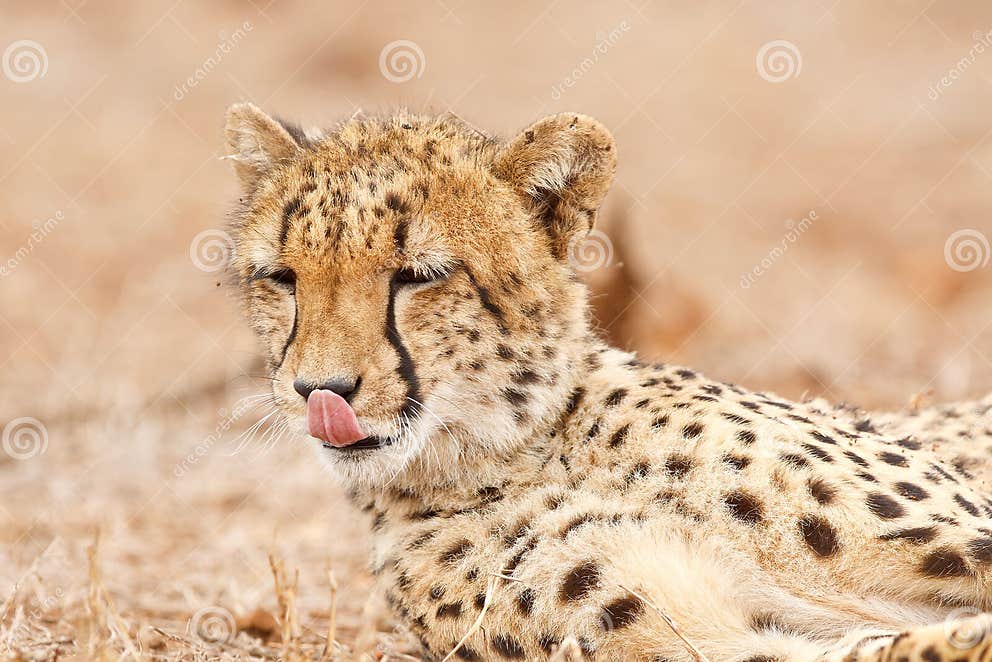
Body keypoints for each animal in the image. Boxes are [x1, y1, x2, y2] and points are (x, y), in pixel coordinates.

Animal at [222, 101, 992, 661]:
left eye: (419, 276)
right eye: (282, 278)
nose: (319, 391)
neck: (529, 449)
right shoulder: (701, 639)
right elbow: (899, 645)